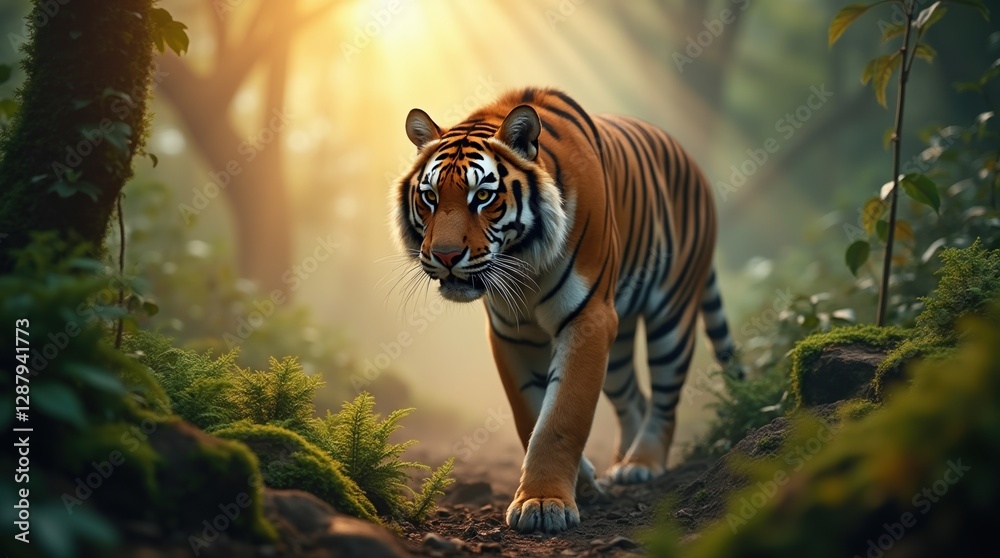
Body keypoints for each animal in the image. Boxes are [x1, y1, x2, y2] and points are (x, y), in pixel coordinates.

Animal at [391, 87, 739, 534]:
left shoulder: (589, 319)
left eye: (482, 196)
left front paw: (544, 502)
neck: (522, 261)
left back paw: (642, 463)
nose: (445, 256)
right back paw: (619, 464)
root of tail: (691, 160)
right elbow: (530, 415)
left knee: (665, 398)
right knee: (633, 398)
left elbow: (562, 417)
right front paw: (582, 486)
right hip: (619, 342)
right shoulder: (512, 332)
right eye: (430, 197)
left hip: (672, 317)